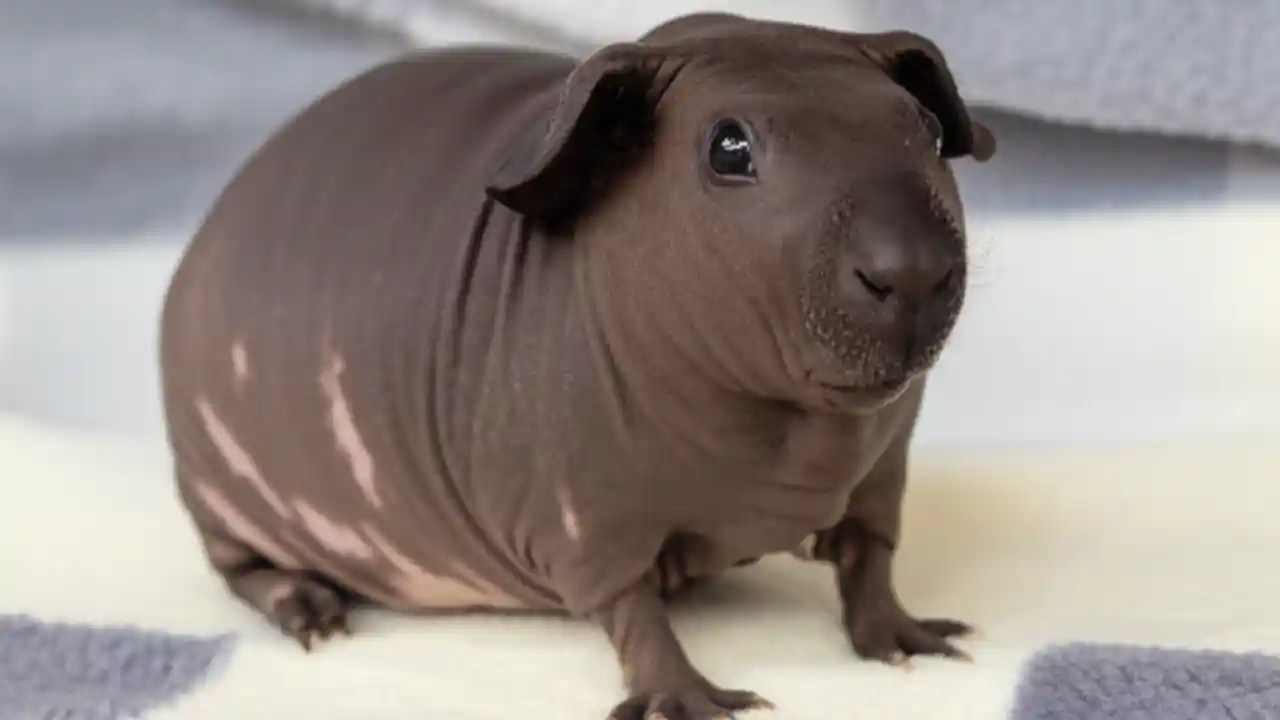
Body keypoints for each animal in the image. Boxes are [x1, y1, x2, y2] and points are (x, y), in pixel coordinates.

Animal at [160, 12, 995, 719]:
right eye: (729, 149)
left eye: (925, 129)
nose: (913, 272)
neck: (793, 429)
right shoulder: (579, 513)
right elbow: (631, 610)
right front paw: (687, 698)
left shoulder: (884, 464)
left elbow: (869, 556)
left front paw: (908, 639)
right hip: (221, 490)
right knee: (237, 568)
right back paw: (306, 607)